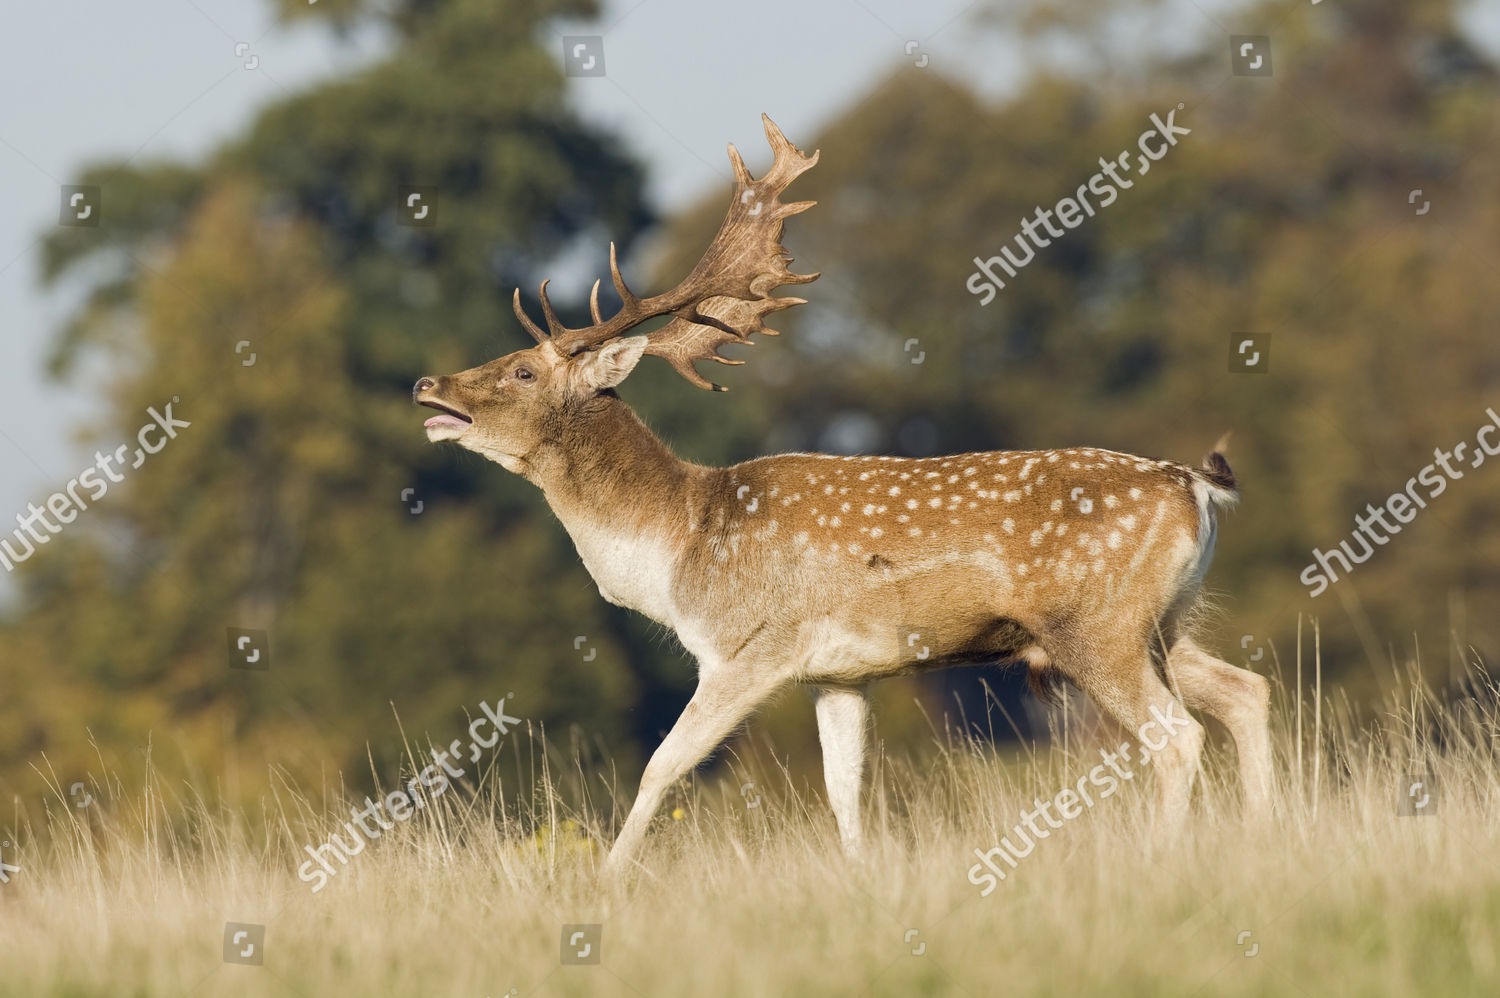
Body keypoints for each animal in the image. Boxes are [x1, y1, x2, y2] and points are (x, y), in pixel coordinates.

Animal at [413, 115, 1272, 876]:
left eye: (524, 369)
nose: (427, 382)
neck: (679, 543)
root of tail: (1197, 487)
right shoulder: (840, 675)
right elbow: (844, 792)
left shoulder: (752, 645)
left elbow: (665, 764)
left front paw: (607, 879)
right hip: (1161, 619)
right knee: (1246, 691)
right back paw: (1268, 835)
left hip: (1098, 623)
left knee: (1177, 734)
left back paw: (1164, 856)